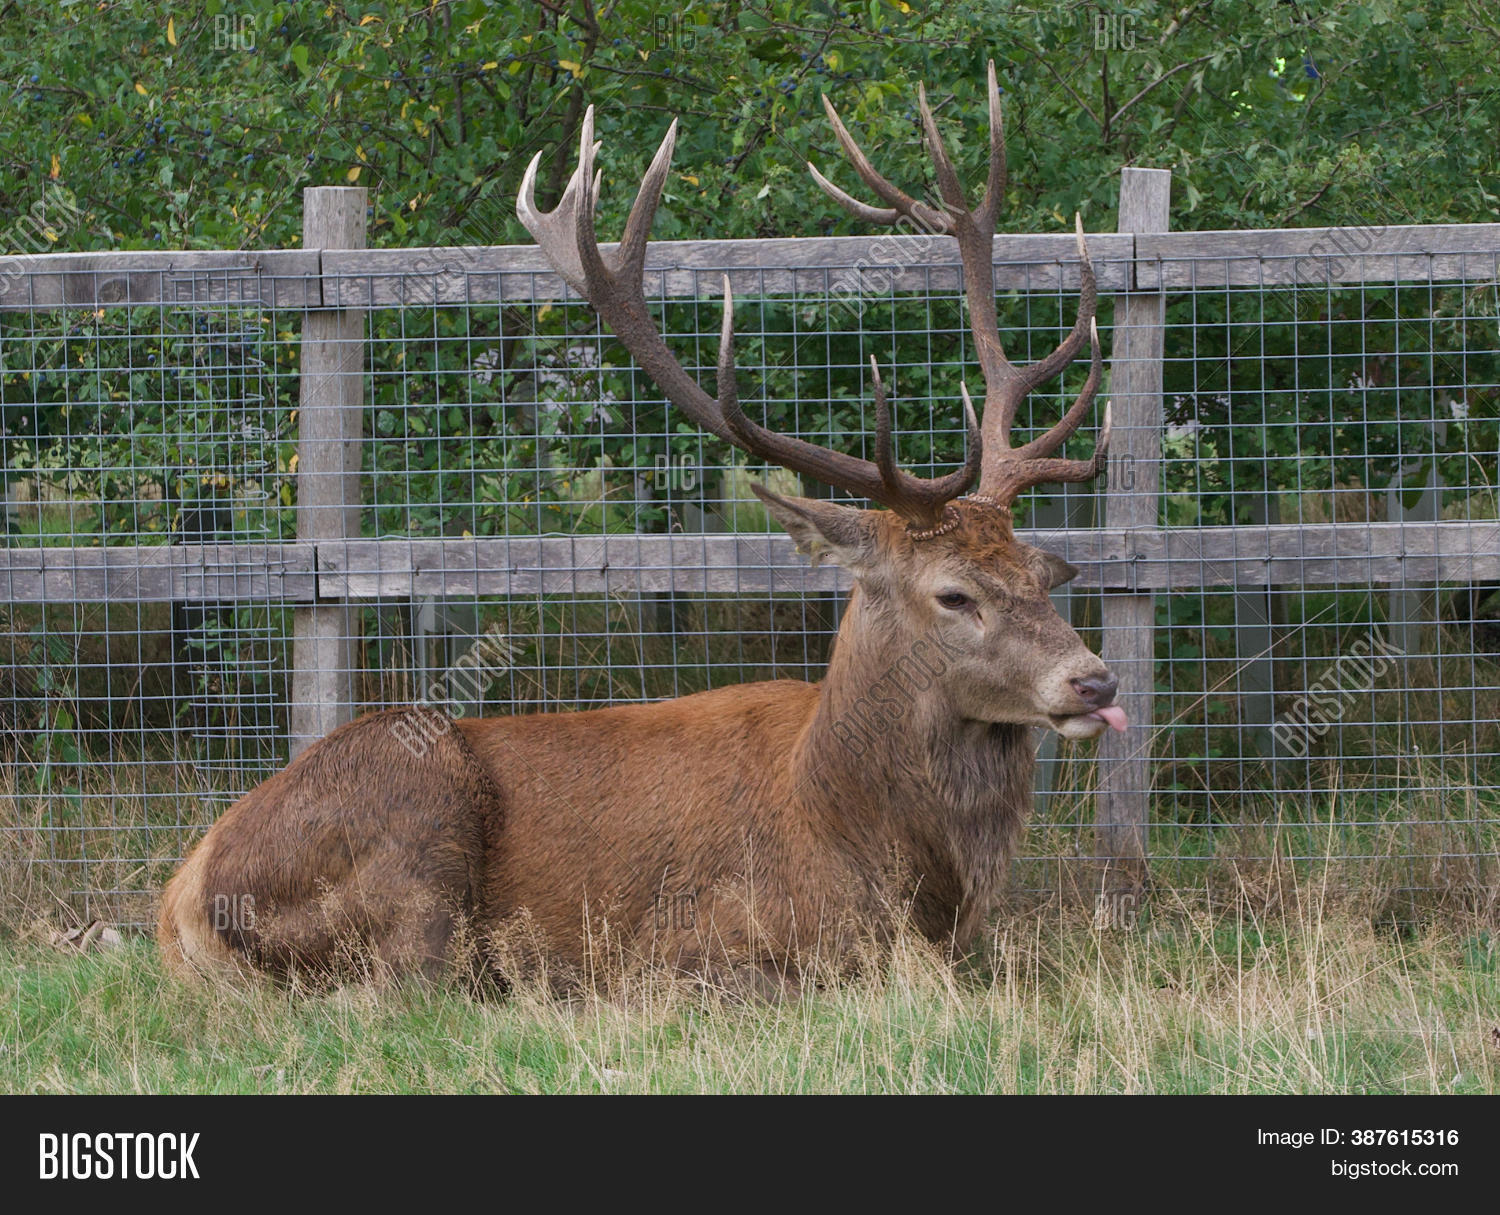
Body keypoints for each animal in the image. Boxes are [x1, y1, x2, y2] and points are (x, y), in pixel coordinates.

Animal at [158, 63, 1126, 994]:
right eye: (953, 593)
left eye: (1041, 574)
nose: (1095, 679)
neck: (860, 836)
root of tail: (181, 898)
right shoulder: (688, 942)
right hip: (414, 817)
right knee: (403, 987)